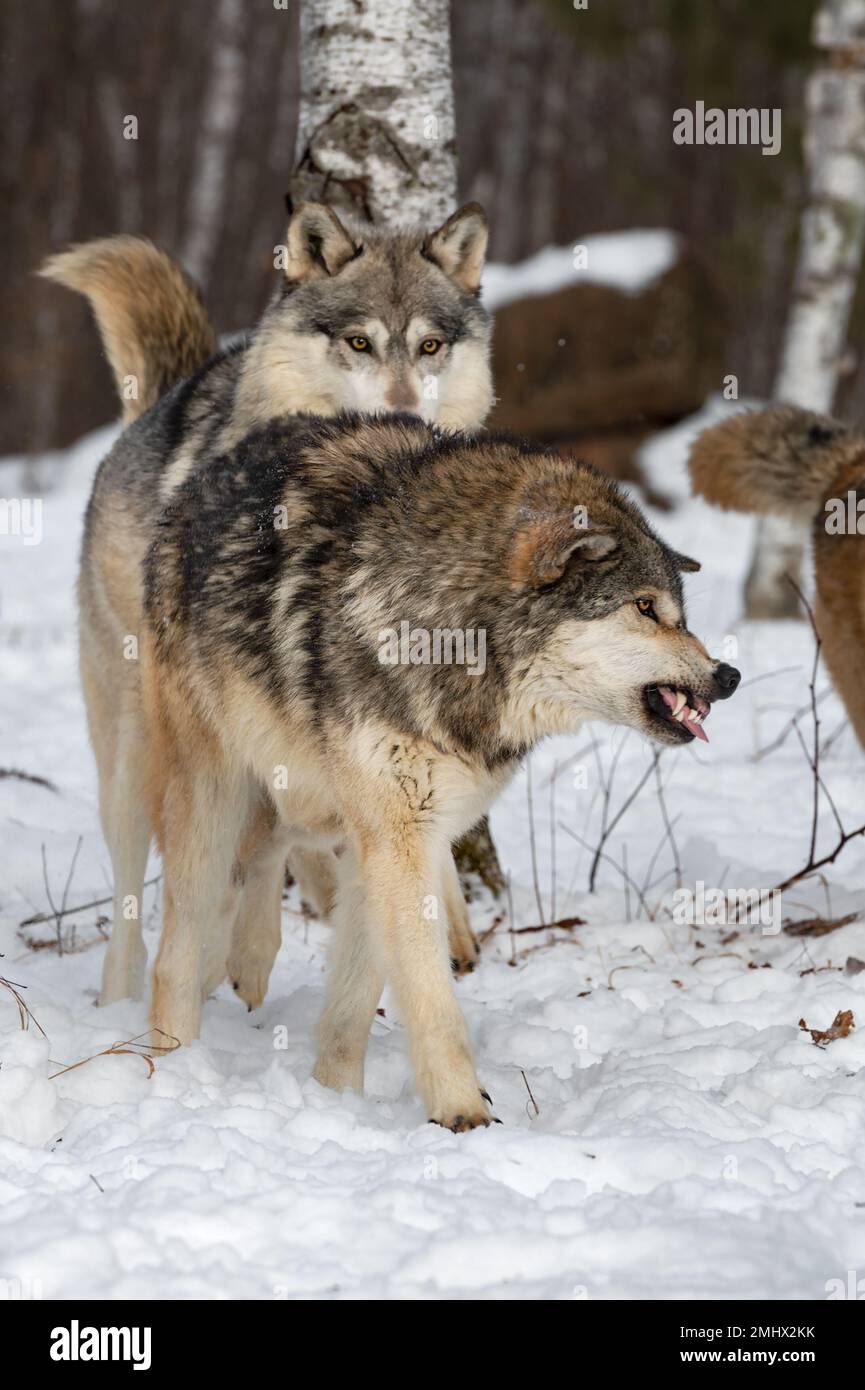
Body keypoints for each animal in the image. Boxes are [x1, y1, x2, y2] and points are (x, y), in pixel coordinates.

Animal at [41, 200, 493, 1003]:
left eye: (431, 346)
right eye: (358, 343)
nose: (406, 412)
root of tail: (162, 401)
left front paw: (450, 930)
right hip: (134, 745)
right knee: (137, 883)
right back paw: (129, 991)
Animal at [128, 410, 739, 1129]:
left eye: (679, 613)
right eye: (644, 608)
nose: (728, 675)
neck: (455, 629)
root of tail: (199, 482)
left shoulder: (389, 840)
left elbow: (355, 999)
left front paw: (335, 1100)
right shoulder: (398, 838)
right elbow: (431, 998)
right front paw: (461, 1111)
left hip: (308, 804)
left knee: (265, 856)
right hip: (211, 792)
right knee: (176, 946)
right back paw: (172, 1064)